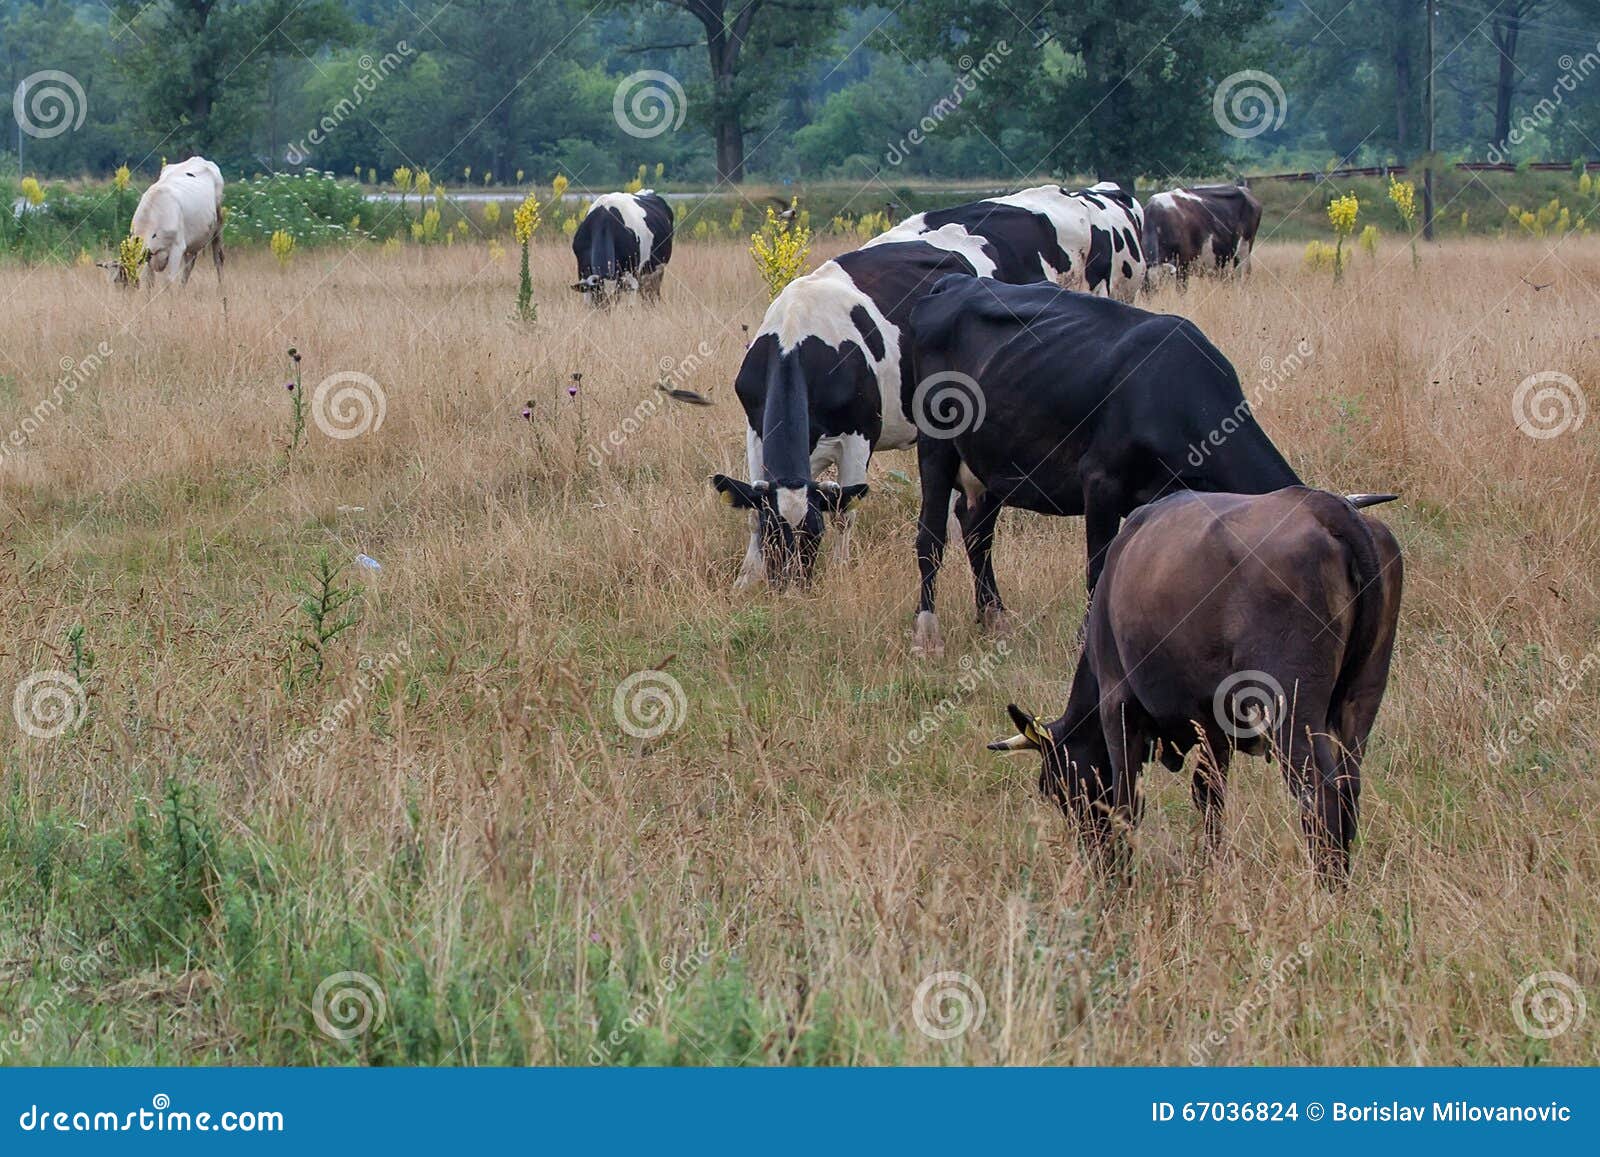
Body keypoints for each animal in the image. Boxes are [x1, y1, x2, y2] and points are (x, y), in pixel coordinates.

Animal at [107, 157, 225, 288]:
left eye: (122, 281)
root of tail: (198, 158)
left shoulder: (177, 248)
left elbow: (168, 280)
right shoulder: (149, 253)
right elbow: (149, 281)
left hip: (218, 225)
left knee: (218, 258)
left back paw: (220, 288)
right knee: (189, 266)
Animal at [905, 273, 1307, 656]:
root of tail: (956, 281)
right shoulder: (1100, 479)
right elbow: (1098, 567)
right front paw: (1087, 642)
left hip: (992, 458)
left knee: (977, 527)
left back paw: (994, 618)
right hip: (935, 443)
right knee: (931, 536)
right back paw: (928, 635)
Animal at [988, 486, 1402, 881]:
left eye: (1056, 787)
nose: (1093, 853)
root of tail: (1321, 505)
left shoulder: (1117, 704)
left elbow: (1126, 801)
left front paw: (1121, 879)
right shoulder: (1213, 726)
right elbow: (1208, 795)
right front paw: (1209, 867)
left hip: (1290, 705)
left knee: (1321, 792)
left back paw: (1328, 887)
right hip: (1361, 697)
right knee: (1349, 785)